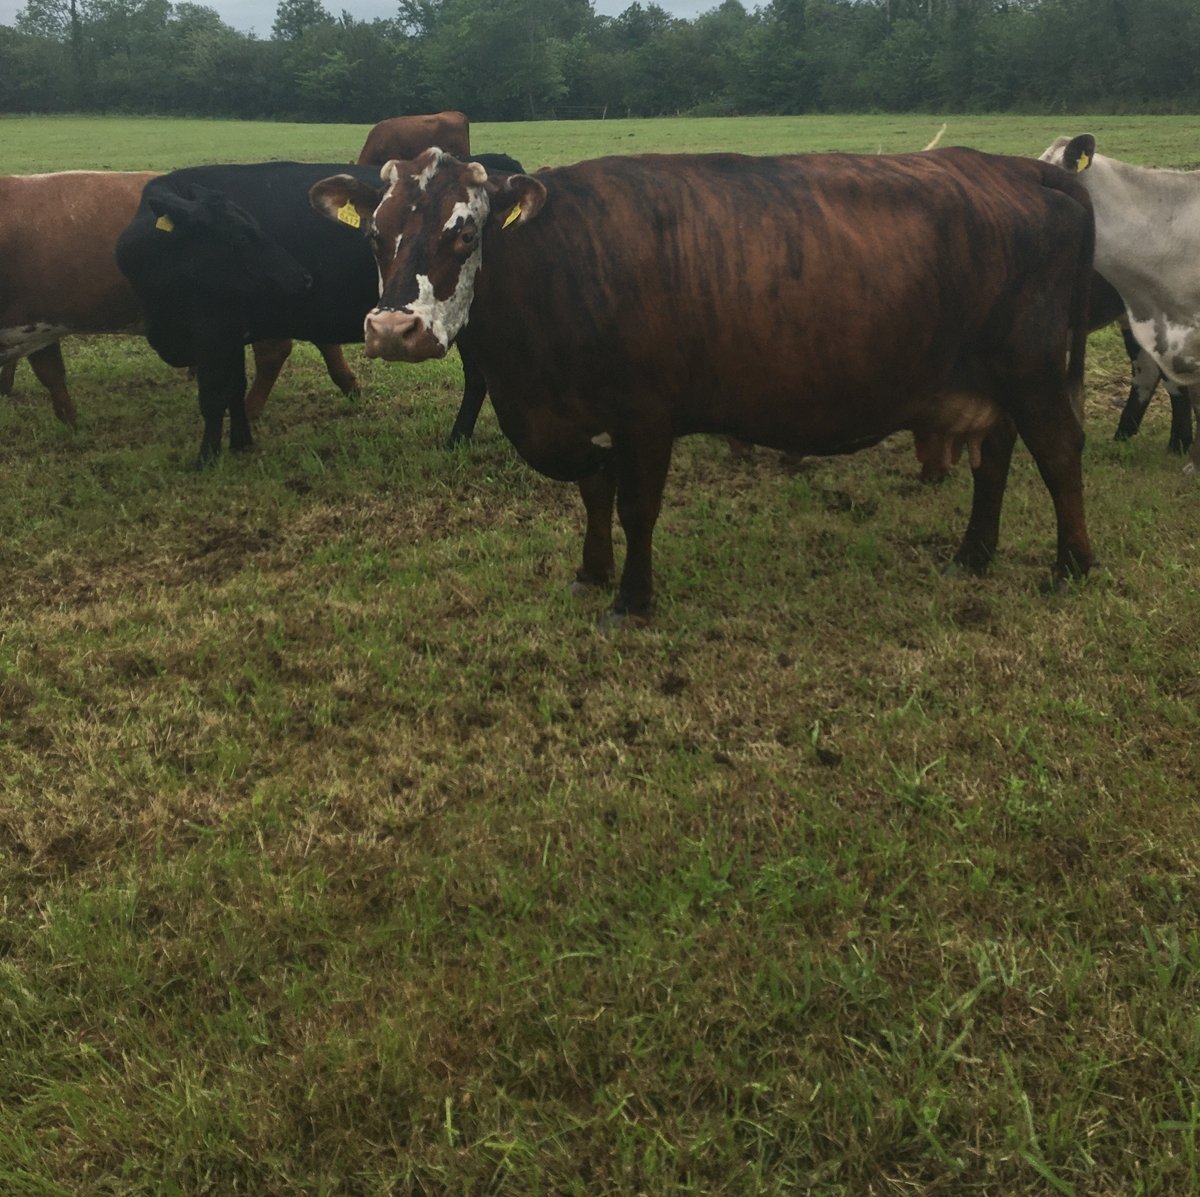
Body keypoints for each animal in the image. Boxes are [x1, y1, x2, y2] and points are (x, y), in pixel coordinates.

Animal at [309, 148, 1096, 623]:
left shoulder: (647, 413)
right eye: (374, 235)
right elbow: (593, 487)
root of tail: (1021, 171)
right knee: (995, 458)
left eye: (464, 233)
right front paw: (592, 571)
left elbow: (636, 507)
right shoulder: (565, 417)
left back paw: (1073, 566)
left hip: (1030, 367)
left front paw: (632, 600)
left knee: (1059, 452)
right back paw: (974, 554)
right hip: (988, 382)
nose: (392, 330)